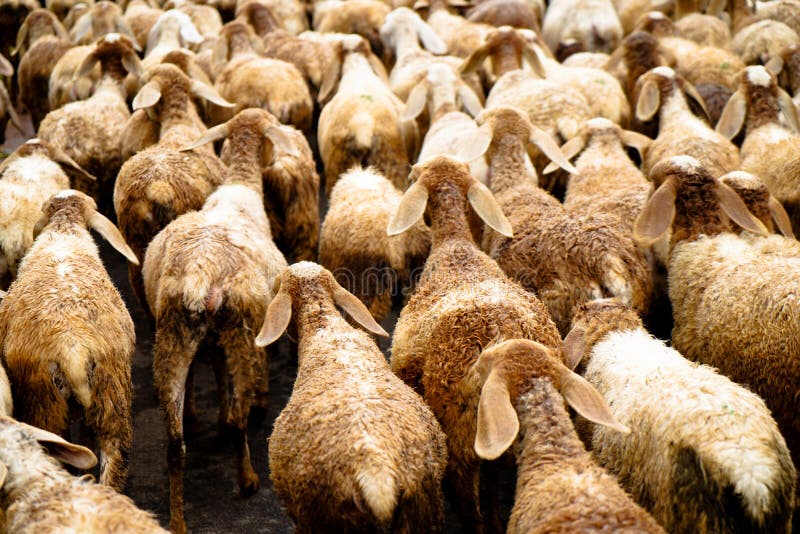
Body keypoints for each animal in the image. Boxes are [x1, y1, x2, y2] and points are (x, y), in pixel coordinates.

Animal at [143, 108, 290, 534]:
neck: (240, 184)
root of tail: (200, 272)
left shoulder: (206, 338)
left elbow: (212, 375)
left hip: (172, 335)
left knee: (174, 445)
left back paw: (177, 521)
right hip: (239, 332)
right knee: (241, 418)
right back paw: (248, 479)